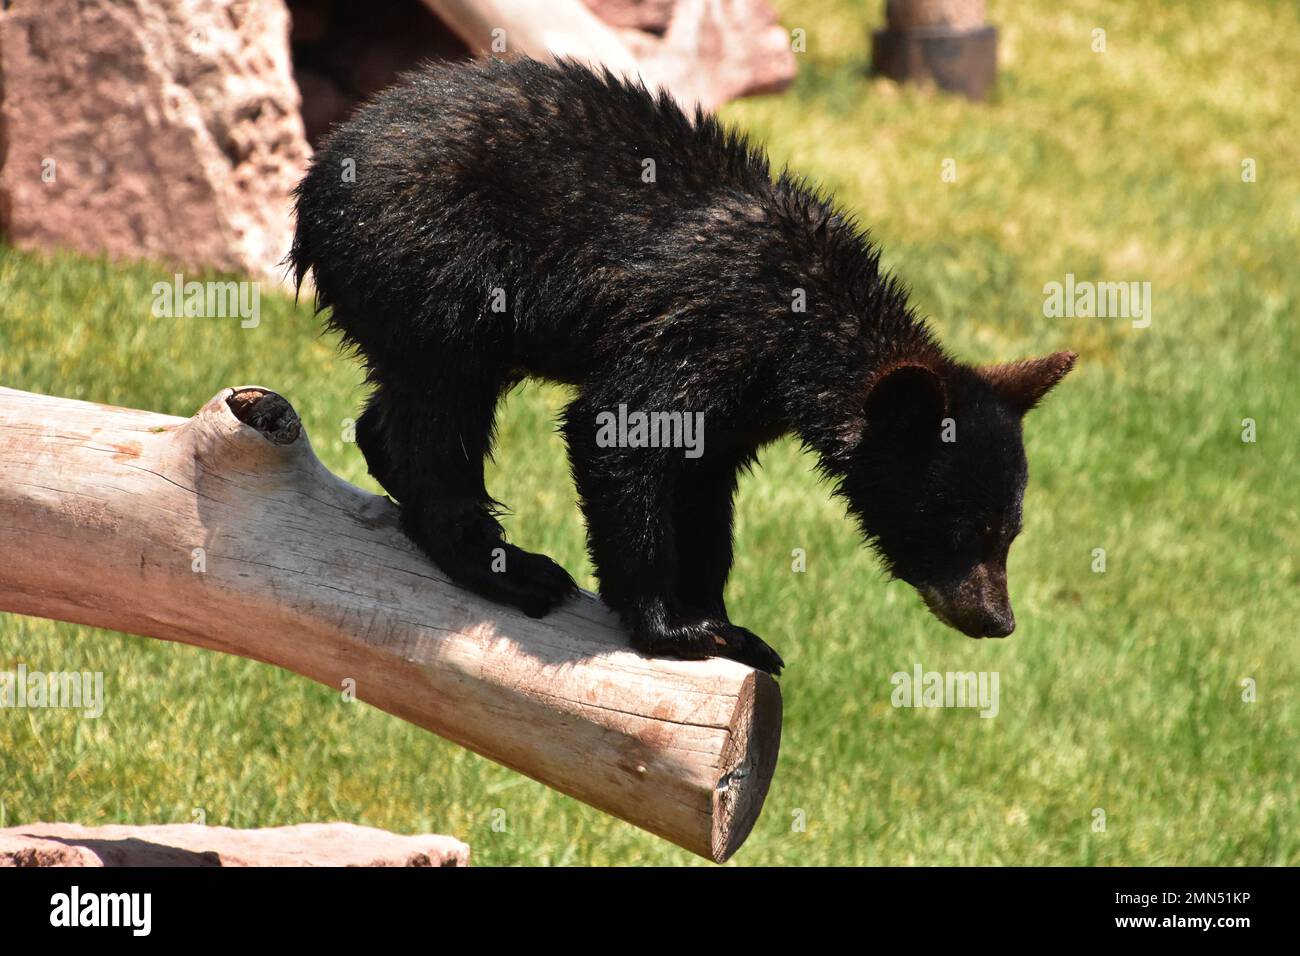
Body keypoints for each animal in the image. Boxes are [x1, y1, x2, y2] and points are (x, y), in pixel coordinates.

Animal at [289, 57, 1076, 676]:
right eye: (964, 529)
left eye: (1011, 532)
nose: (997, 621)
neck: (809, 331)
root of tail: (319, 173)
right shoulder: (712, 330)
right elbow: (617, 429)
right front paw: (674, 627)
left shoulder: (743, 405)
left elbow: (702, 488)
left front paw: (725, 620)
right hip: (436, 266)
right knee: (444, 409)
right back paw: (508, 568)